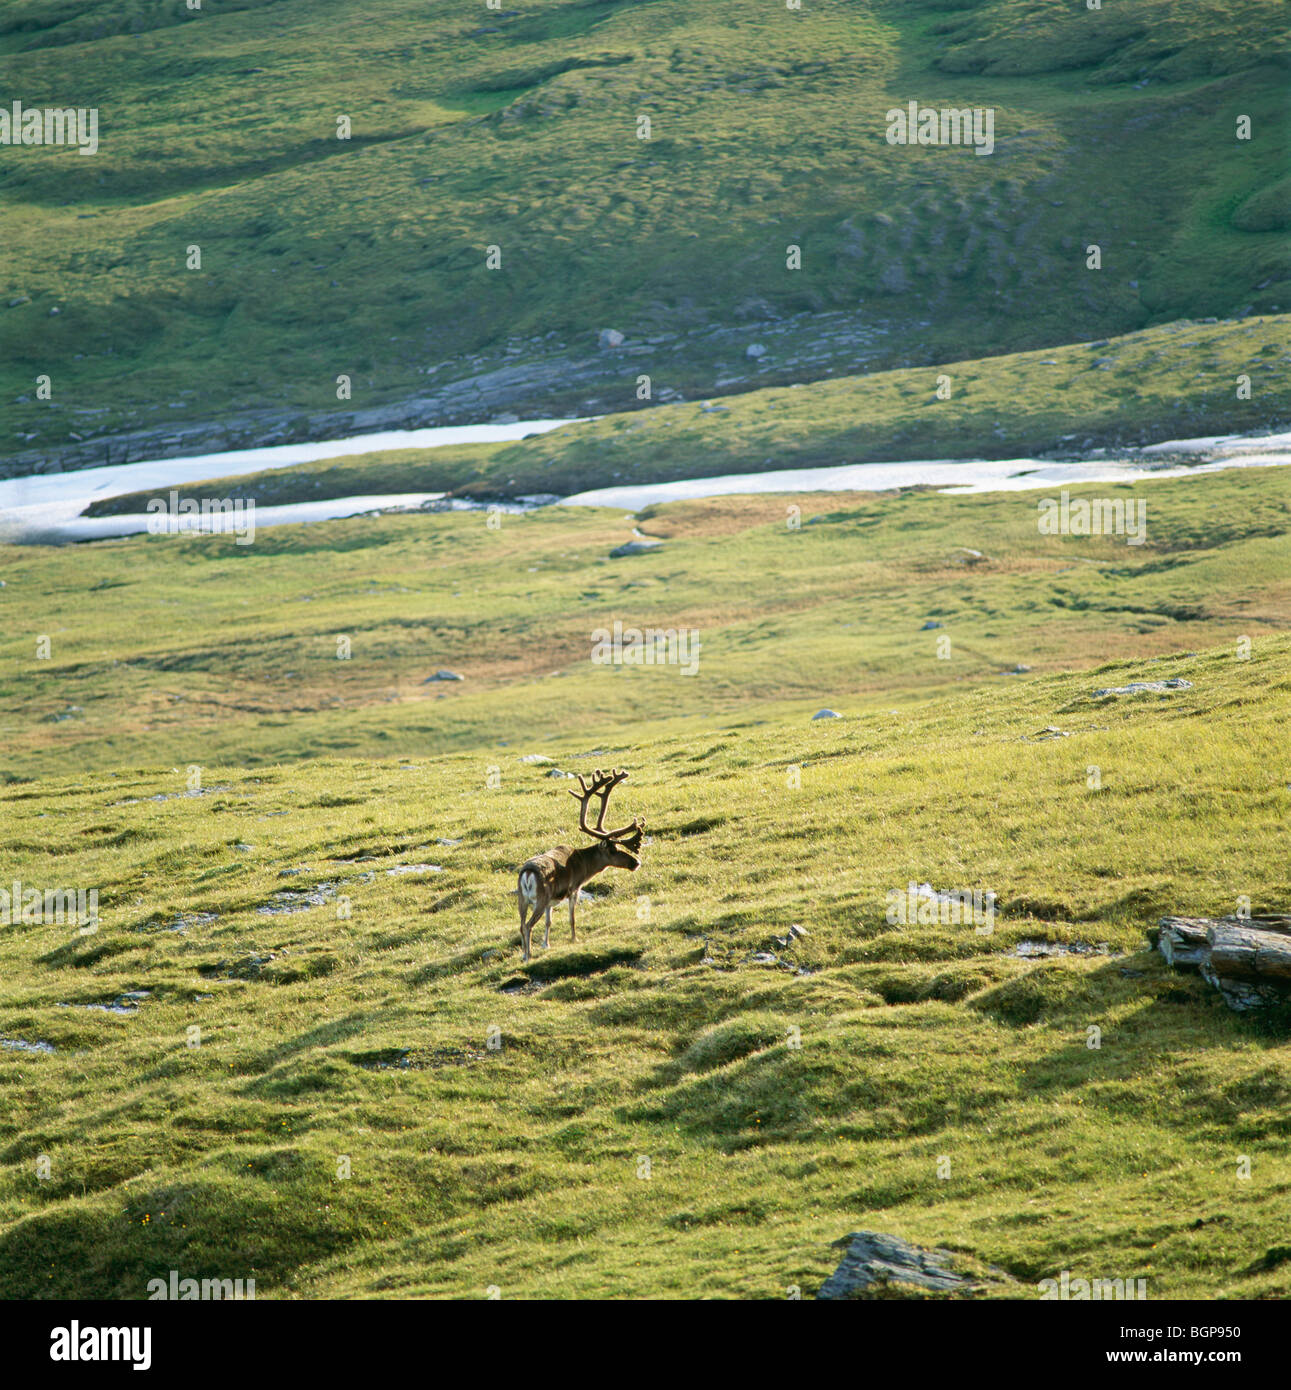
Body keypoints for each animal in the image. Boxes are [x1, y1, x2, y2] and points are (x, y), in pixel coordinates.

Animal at [515, 768, 645, 963]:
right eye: (613, 849)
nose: (635, 862)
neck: (584, 865)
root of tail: (527, 874)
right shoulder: (574, 888)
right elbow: (572, 918)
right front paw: (574, 939)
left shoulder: (551, 902)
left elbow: (548, 922)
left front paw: (546, 944)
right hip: (540, 897)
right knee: (528, 925)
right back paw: (527, 955)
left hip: (522, 899)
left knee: (521, 925)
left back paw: (524, 952)